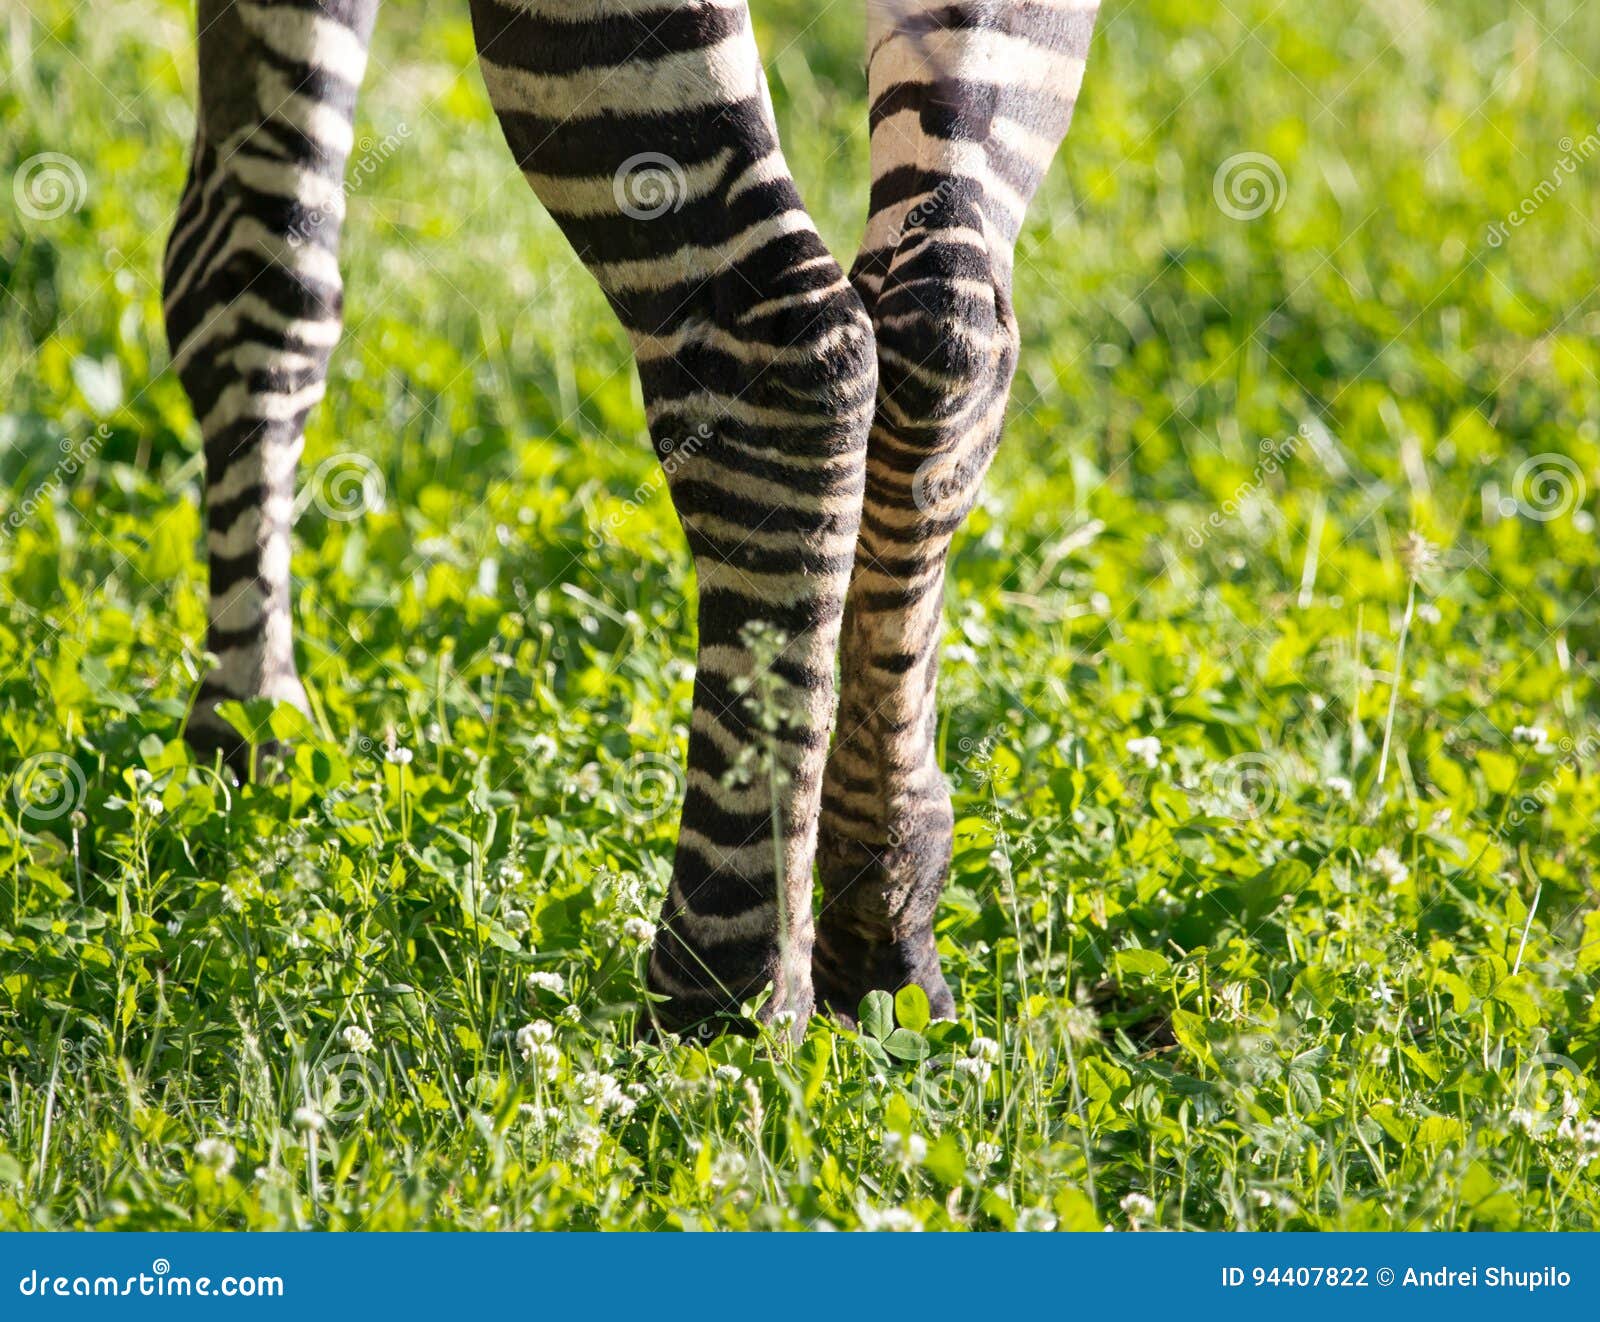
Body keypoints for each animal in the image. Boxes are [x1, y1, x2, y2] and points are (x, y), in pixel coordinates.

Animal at [164, 0, 1100, 1037]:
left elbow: (250, 271)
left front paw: (248, 729)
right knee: (943, 324)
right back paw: (879, 923)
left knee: (785, 340)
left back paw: (722, 984)